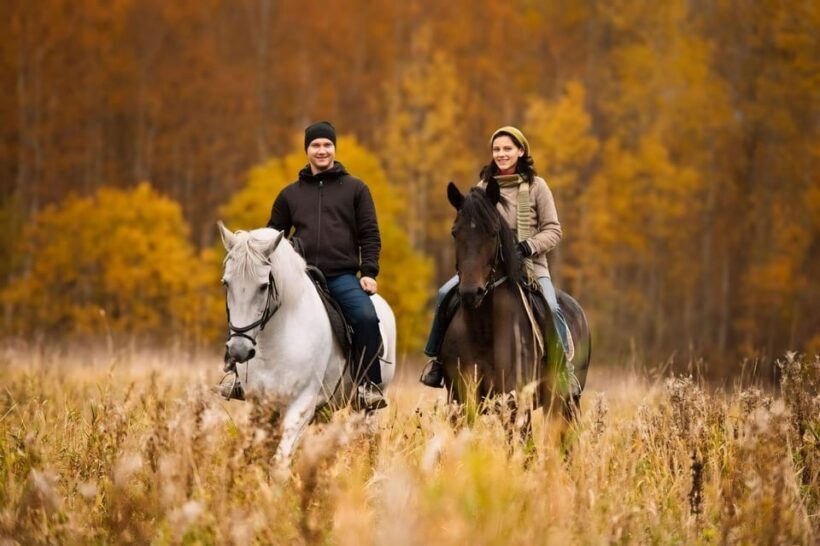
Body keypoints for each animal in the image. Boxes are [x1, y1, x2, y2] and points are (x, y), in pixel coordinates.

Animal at [216, 222, 397, 464]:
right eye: (226, 283)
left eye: (263, 286)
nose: (239, 350)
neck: (274, 344)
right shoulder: (261, 406)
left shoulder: (301, 405)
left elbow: (280, 459)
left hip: (366, 408)